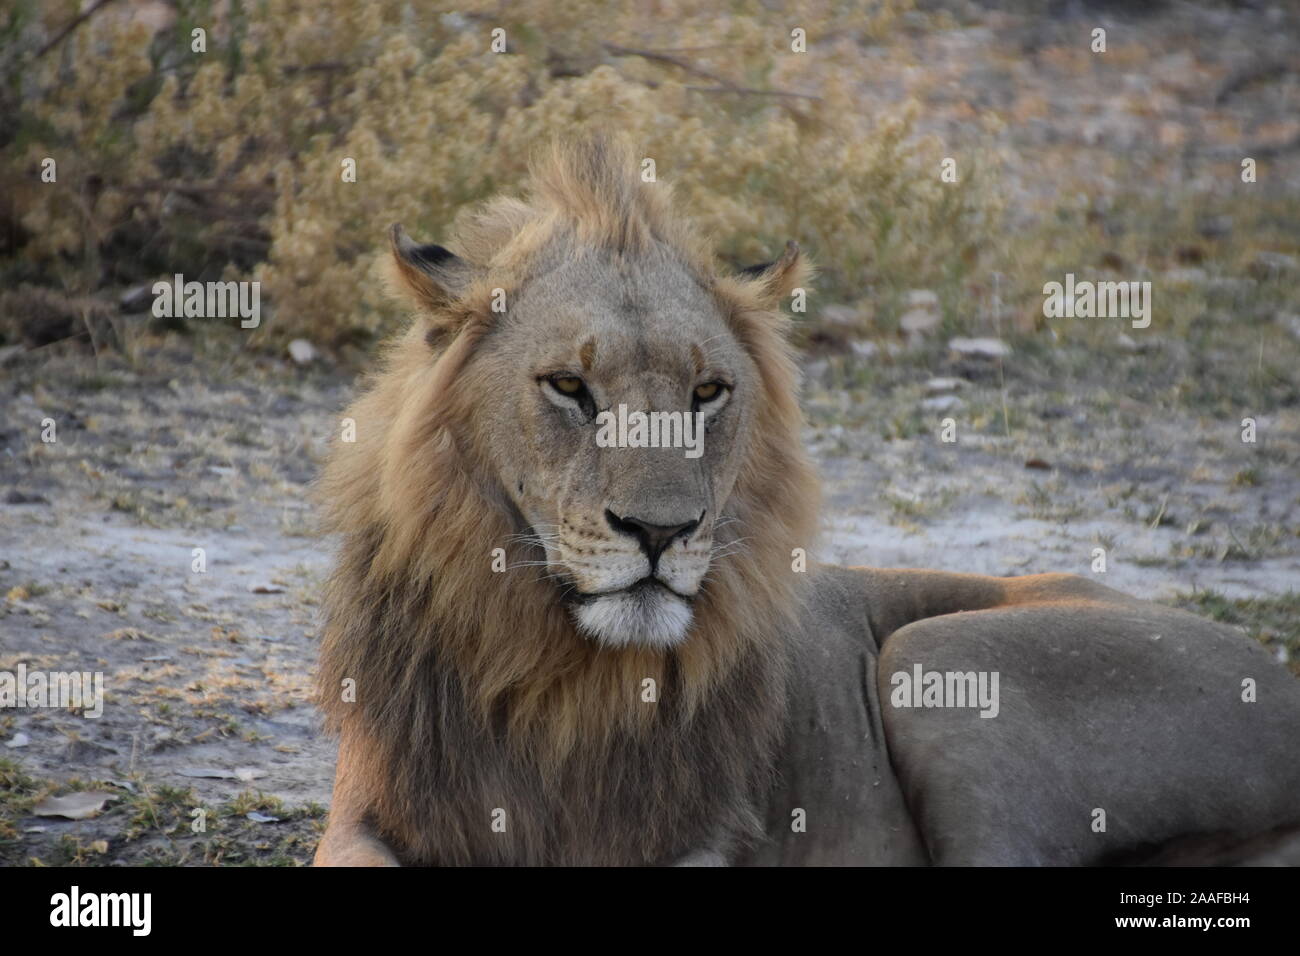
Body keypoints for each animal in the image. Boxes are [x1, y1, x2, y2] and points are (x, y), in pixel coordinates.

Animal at [313, 137, 1300, 866]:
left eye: (707, 393)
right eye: (567, 386)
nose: (661, 531)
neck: (560, 676)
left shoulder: (707, 836)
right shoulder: (367, 812)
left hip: (937, 663)